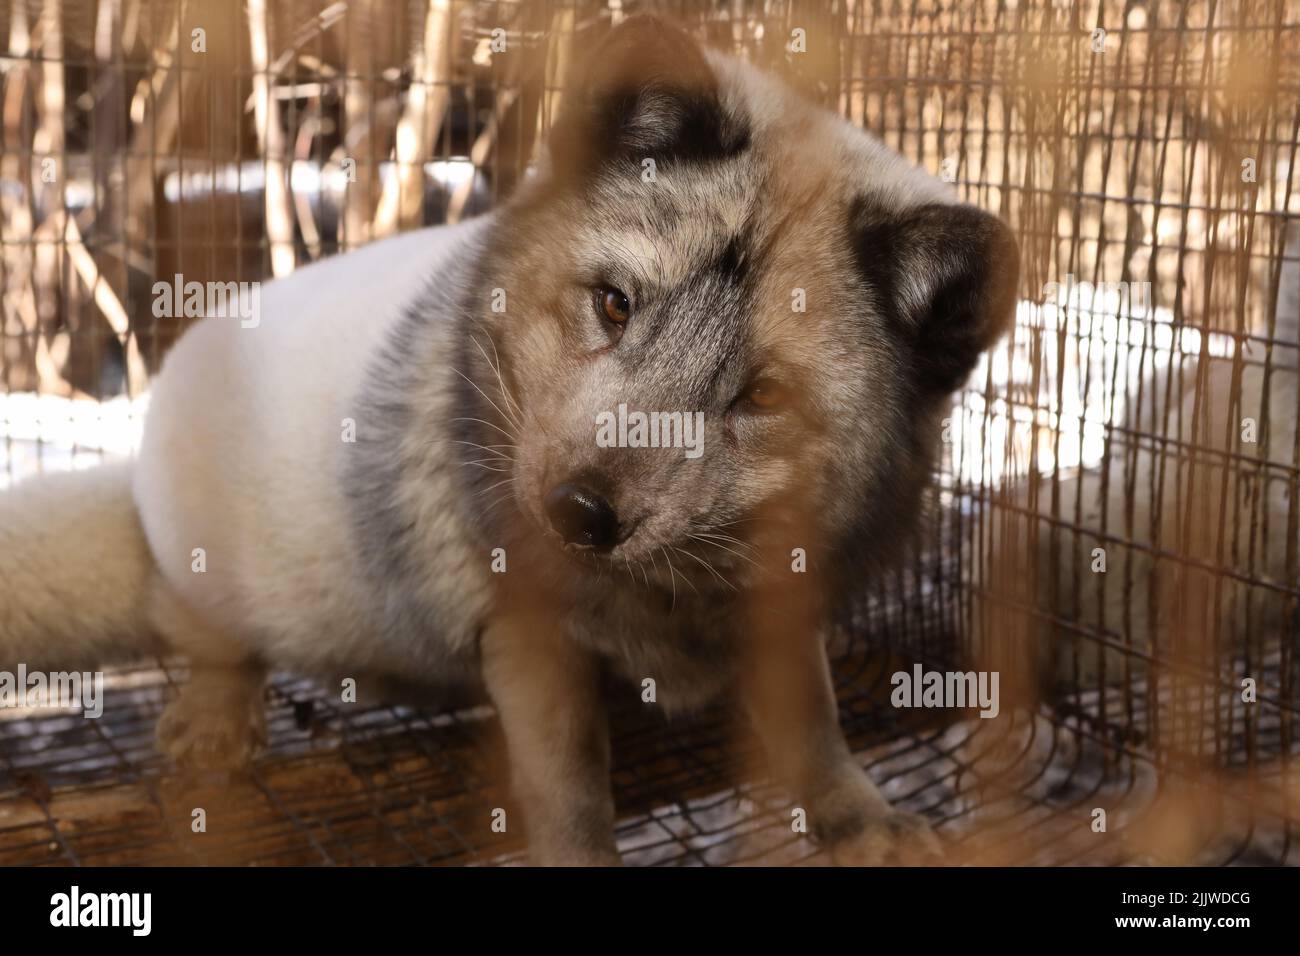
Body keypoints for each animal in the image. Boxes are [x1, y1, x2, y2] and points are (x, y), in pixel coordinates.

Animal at [0, 15, 1017, 865]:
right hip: (214, 559)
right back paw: (218, 708)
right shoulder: (526, 630)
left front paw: (863, 820)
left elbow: (813, 728)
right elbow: (569, 790)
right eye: (614, 303)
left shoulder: (781, 611)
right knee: (200, 627)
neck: (672, 600)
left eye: (764, 392)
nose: (579, 512)